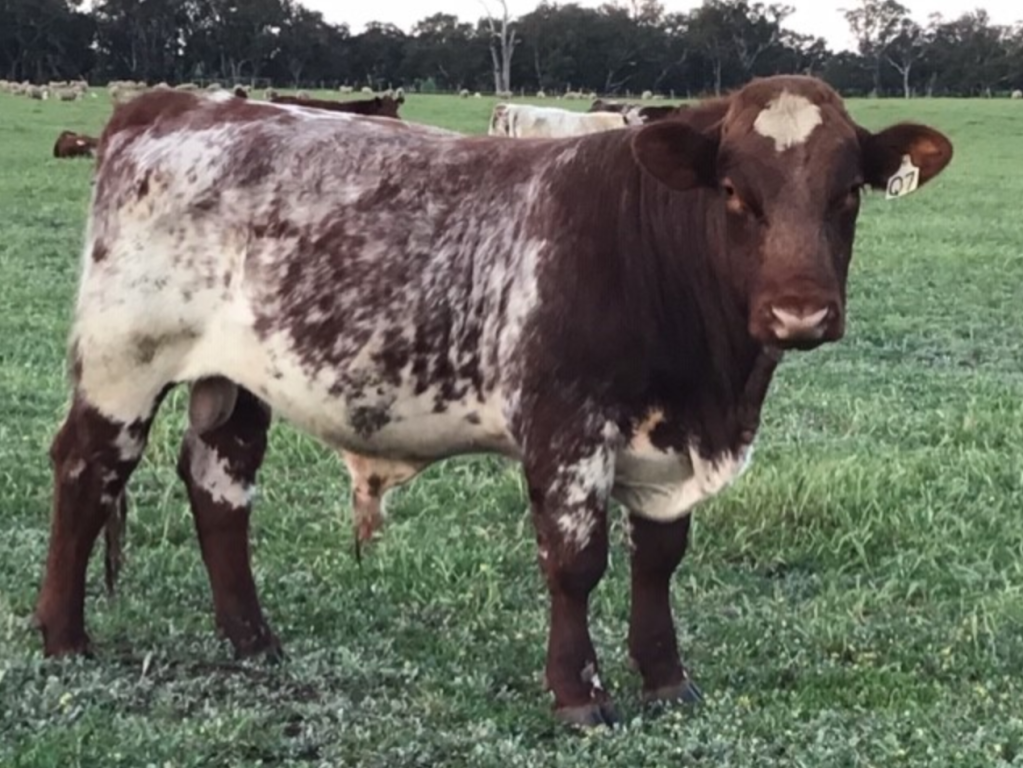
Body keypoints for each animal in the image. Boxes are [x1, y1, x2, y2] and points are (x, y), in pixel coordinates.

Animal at [33, 76, 952, 728]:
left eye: (847, 192)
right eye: (732, 191)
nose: (800, 313)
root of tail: (169, 104)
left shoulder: (666, 445)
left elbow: (658, 560)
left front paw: (666, 680)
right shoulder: (565, 427)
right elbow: (575, 563)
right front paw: (579, 696)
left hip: (239, 378)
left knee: (219, 485)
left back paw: (254, 641)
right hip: (123, 361)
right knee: (87, 472)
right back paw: (64, 637)